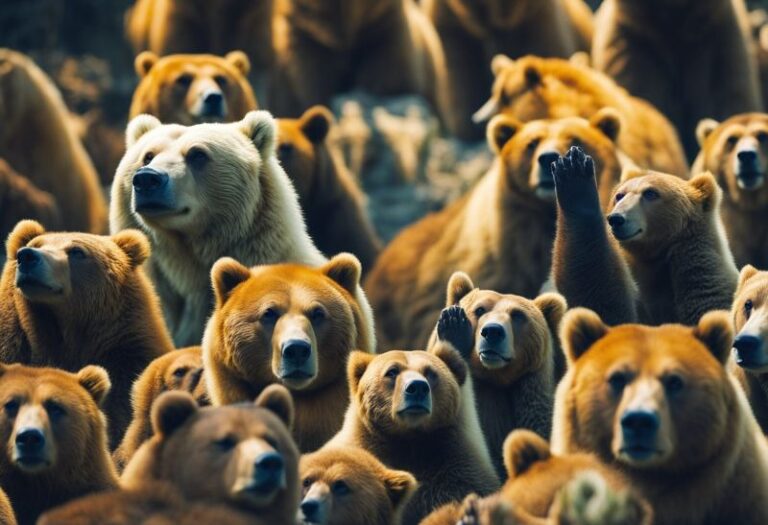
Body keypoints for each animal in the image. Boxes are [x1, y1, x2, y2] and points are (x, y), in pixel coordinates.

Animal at [551, 146, 738, 327]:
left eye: (650, 193)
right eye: (619, 195)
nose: (616, 219)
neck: (651, 258)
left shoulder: (702, 276)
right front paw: (573, 175)